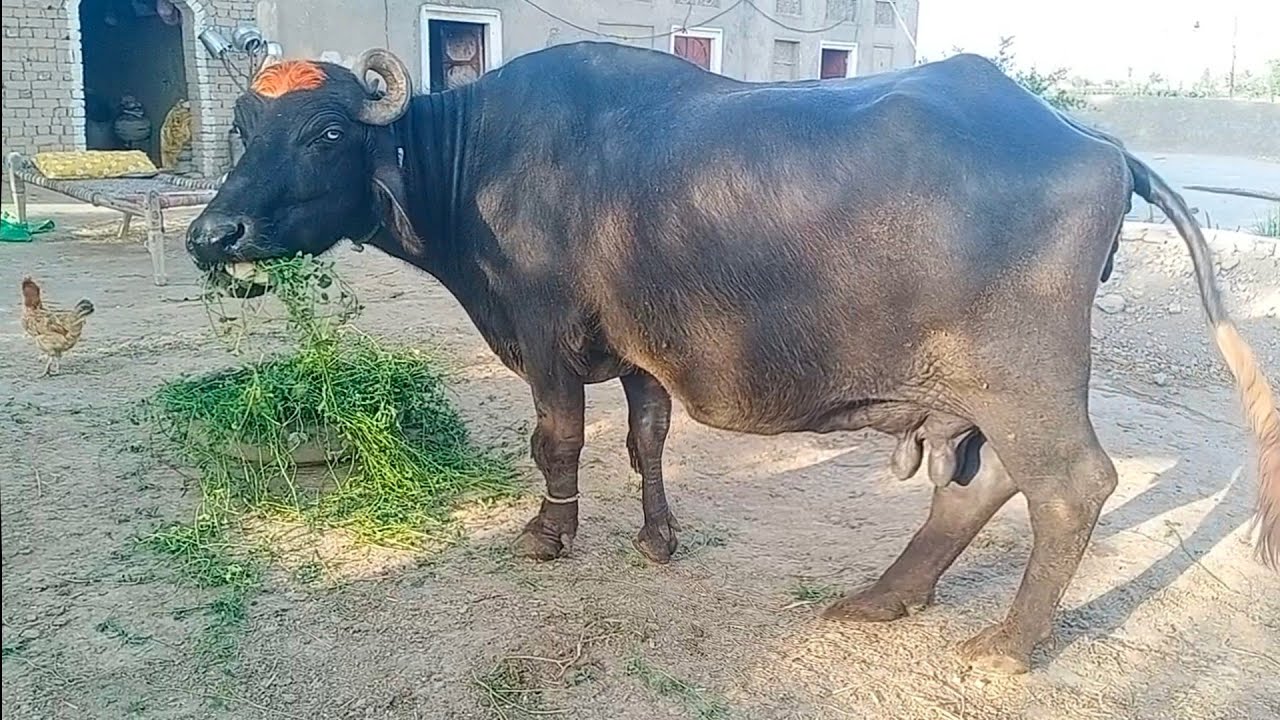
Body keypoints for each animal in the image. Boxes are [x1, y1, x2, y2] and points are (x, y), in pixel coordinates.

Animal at [186, 42, 1279, 674]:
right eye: (242, 126)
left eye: (327, 131)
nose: (211, 233)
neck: (480, 156)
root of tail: (1093, 140)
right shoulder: (635, 350)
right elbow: (645, 441)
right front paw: (657, 538)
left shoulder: (544, 336)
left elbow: (556, 443)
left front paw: (548, 535)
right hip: (973, 392)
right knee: (977, 488)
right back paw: (883, 598)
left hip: (1026, 377)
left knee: (1068, 485)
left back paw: (1008, 644)